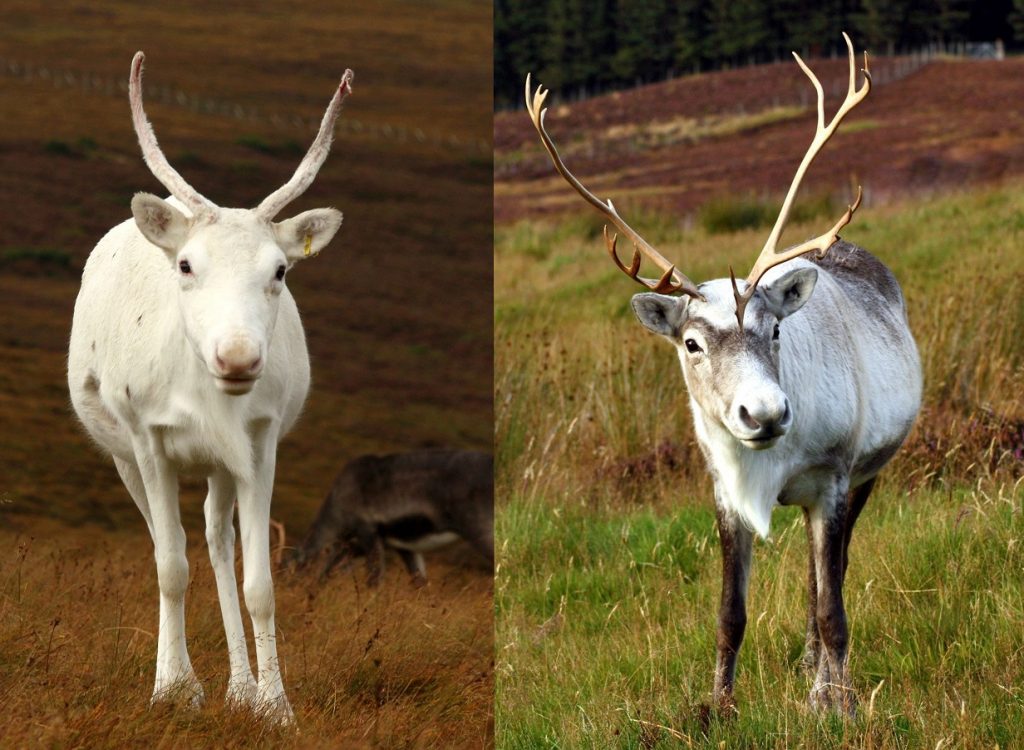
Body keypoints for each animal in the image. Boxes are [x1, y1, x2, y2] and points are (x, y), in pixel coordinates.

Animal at [67, 52, 354, 724]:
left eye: (280, 270)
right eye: (186, 265)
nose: (238, 356)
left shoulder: (260, 442)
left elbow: (260, 581)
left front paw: (273, 703)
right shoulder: (148, 440)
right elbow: (171, 568)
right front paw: (174, 689)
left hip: (221, 465)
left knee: (217, 539)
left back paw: (240, 686)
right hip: (123, 455)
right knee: (166, 540)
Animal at [288, 449, 494, 585]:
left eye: (287, 567)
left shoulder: (368, 532)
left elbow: (374, 578)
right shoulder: (402, 547)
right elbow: (419, 581)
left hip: (481, 531)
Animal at [525, 34, 922, 715]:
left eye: (776, 330)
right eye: (691, 342)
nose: (765, 413)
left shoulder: (834, 480)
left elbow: (832, 609)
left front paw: (838, 705)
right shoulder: (723, 492)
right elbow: (729, 615)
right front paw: (720, 708)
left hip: (869, 473)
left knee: (832, 574)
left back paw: (821, 681)